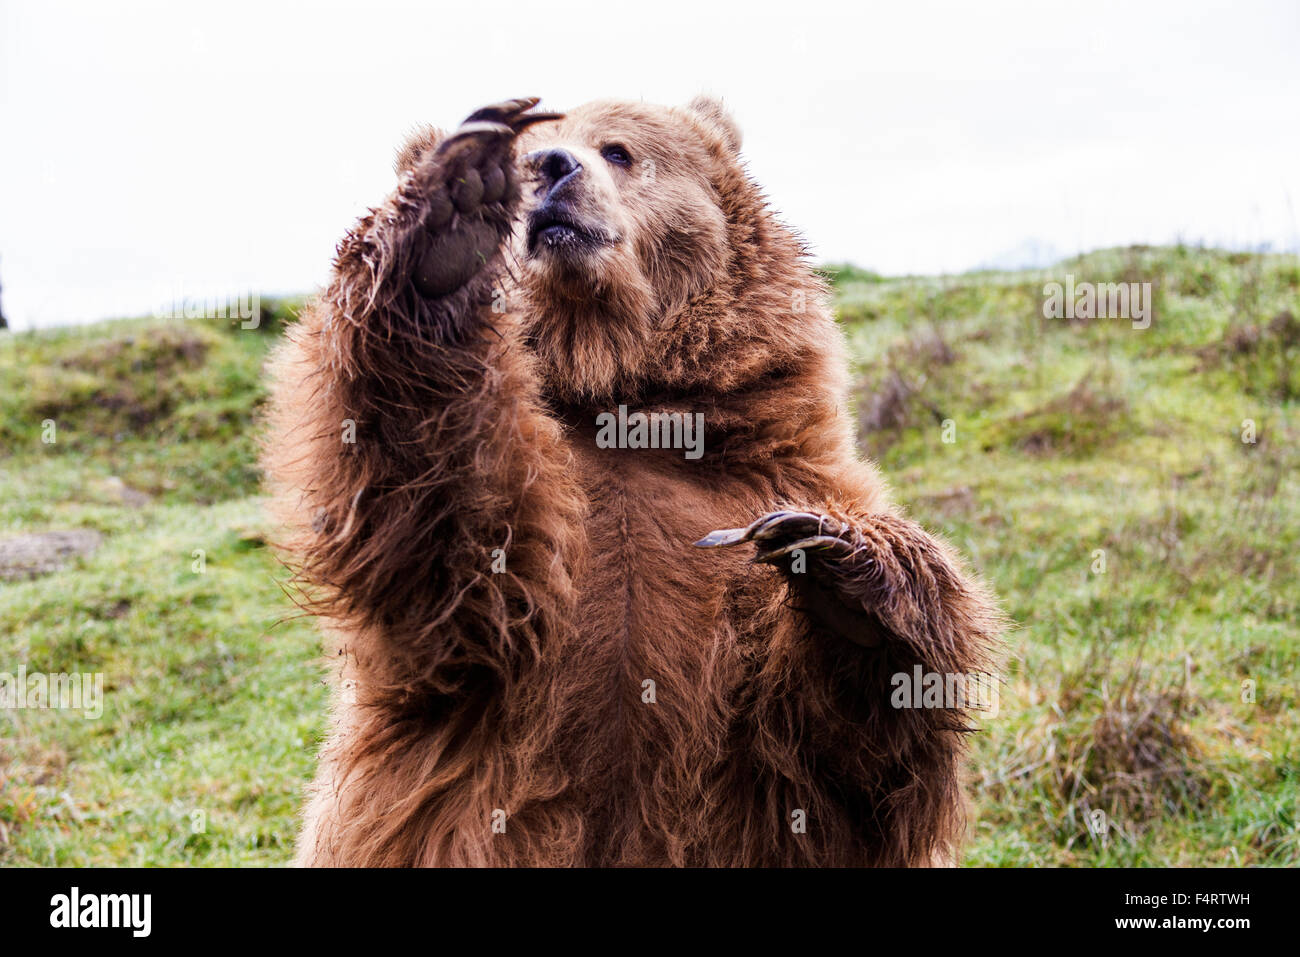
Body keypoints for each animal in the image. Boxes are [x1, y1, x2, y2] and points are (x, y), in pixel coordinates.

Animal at [263, 96, 1004, 867]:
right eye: (529, 153)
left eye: (616, 149)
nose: (549, 167)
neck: (615, 394)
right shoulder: (501, 598)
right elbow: (445, 534)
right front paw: (447, 226)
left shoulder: (769, 487)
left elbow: (835, 755)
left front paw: (841, 577)